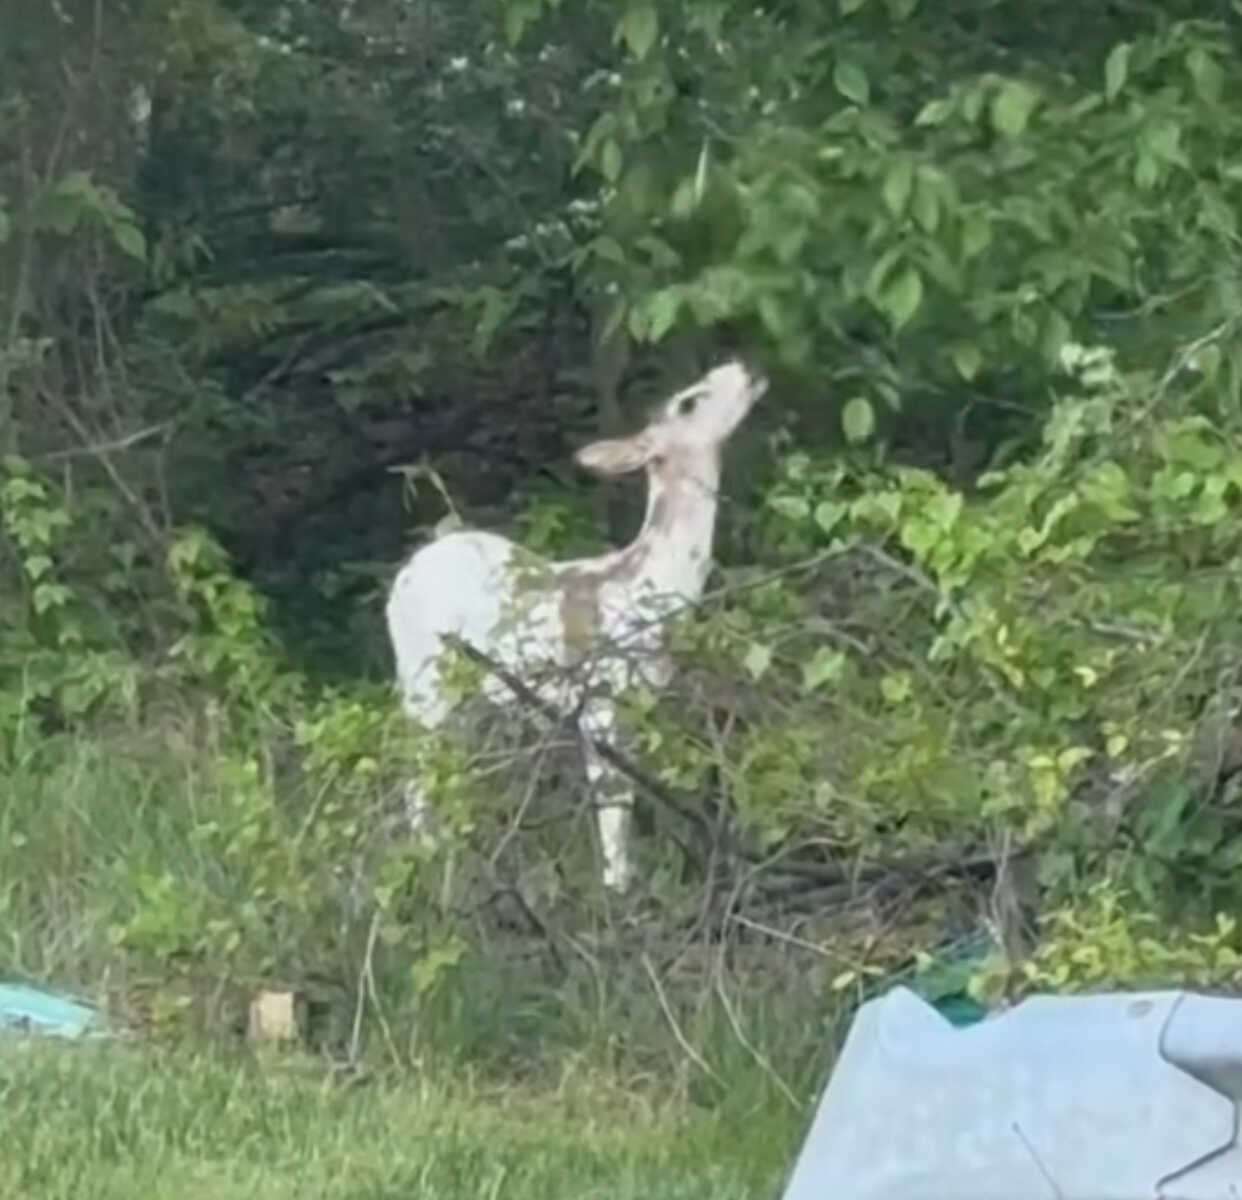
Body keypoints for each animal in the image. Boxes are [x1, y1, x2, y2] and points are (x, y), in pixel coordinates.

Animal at [384, 359, 767, 892]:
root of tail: (401, 579)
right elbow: (612, 804)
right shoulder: (600, 697)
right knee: (419, 778)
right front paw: (617, 891)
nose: (745, 367)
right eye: (689, 401)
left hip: (470, 698)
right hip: (423, 678)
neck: (646, 586)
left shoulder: (645, 704)